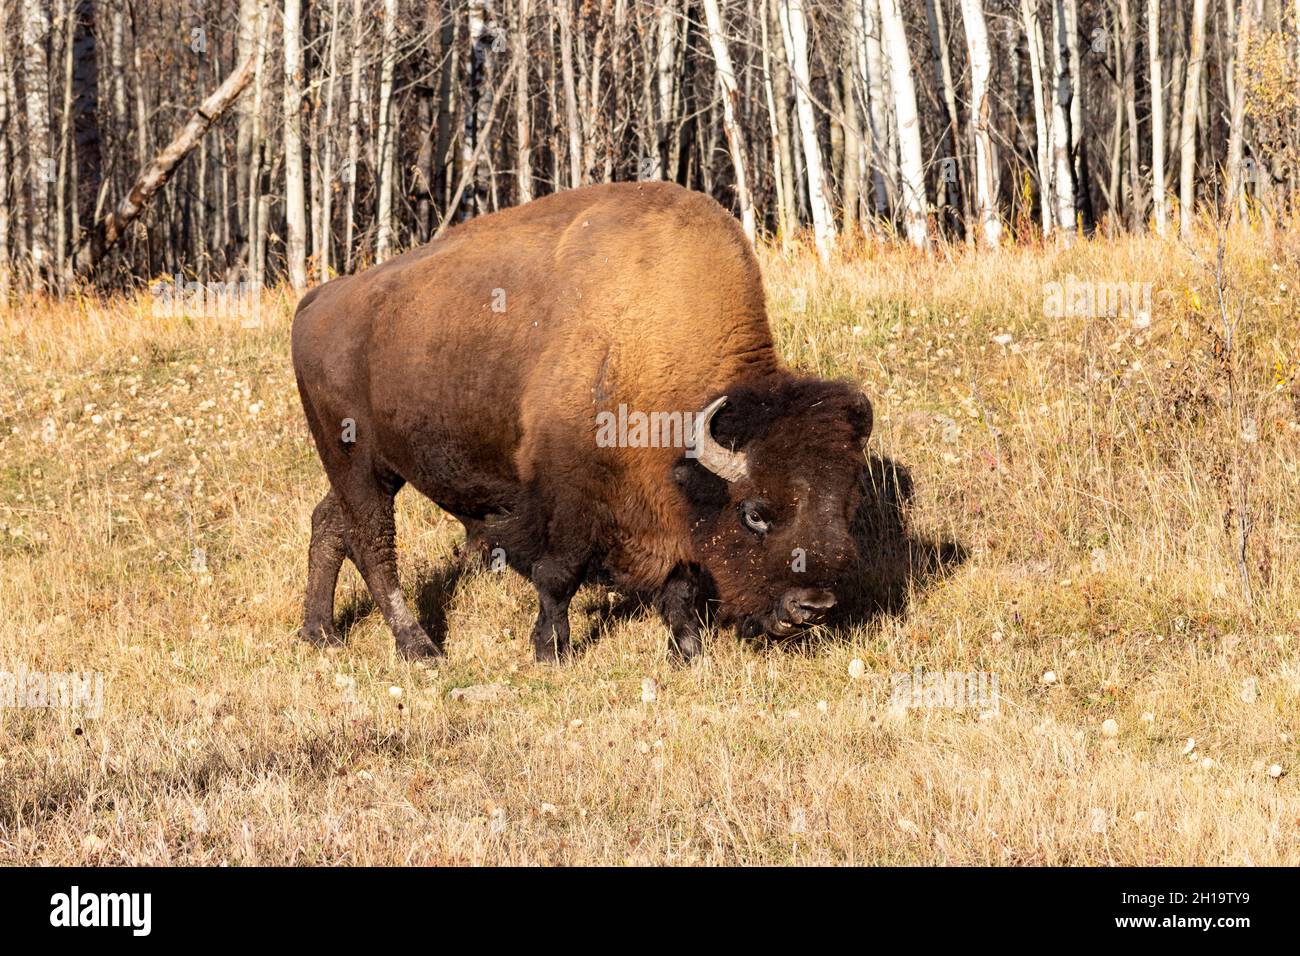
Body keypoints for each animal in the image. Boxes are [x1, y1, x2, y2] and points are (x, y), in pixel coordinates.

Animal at [291, 182, 873, 662]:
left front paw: (687, 651)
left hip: (375, 468)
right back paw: (419, 647)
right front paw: (550, 649)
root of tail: (318, 300)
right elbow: (559, 574)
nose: (811, 606)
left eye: (846, 504)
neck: (651, 333)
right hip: (358, 463)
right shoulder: (565, 493)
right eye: (754, 513)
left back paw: (320, 633)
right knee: (372, 545)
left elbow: (680, 578)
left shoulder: (662, 506)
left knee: (329, 523)